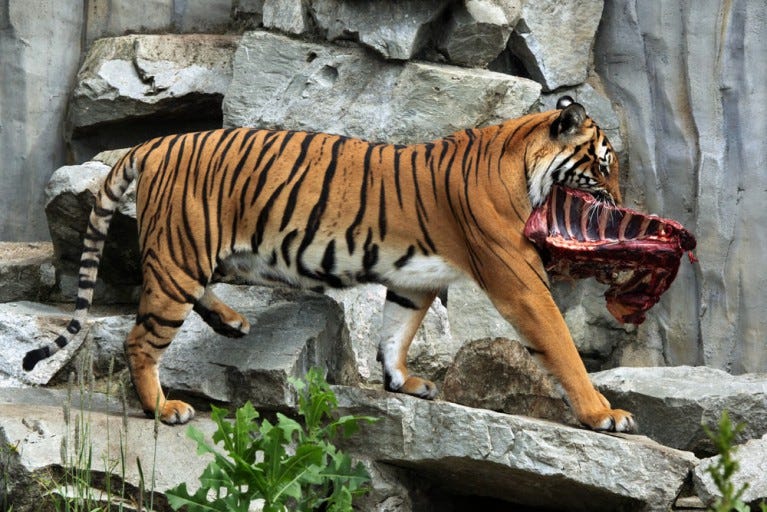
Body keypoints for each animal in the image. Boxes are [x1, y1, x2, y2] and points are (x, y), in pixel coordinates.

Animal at [24, 96, 634, 432]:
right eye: (603, 167)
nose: (620, 204)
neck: (522, 160)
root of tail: (155, 144)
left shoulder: (416, 280)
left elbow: (396, 330)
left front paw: (403, 381)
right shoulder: (520, 281)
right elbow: (561, 345)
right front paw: (603, 414)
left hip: (190, 256)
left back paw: (233, 321)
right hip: (182, 253)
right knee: (140, 339)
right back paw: (163, 408)